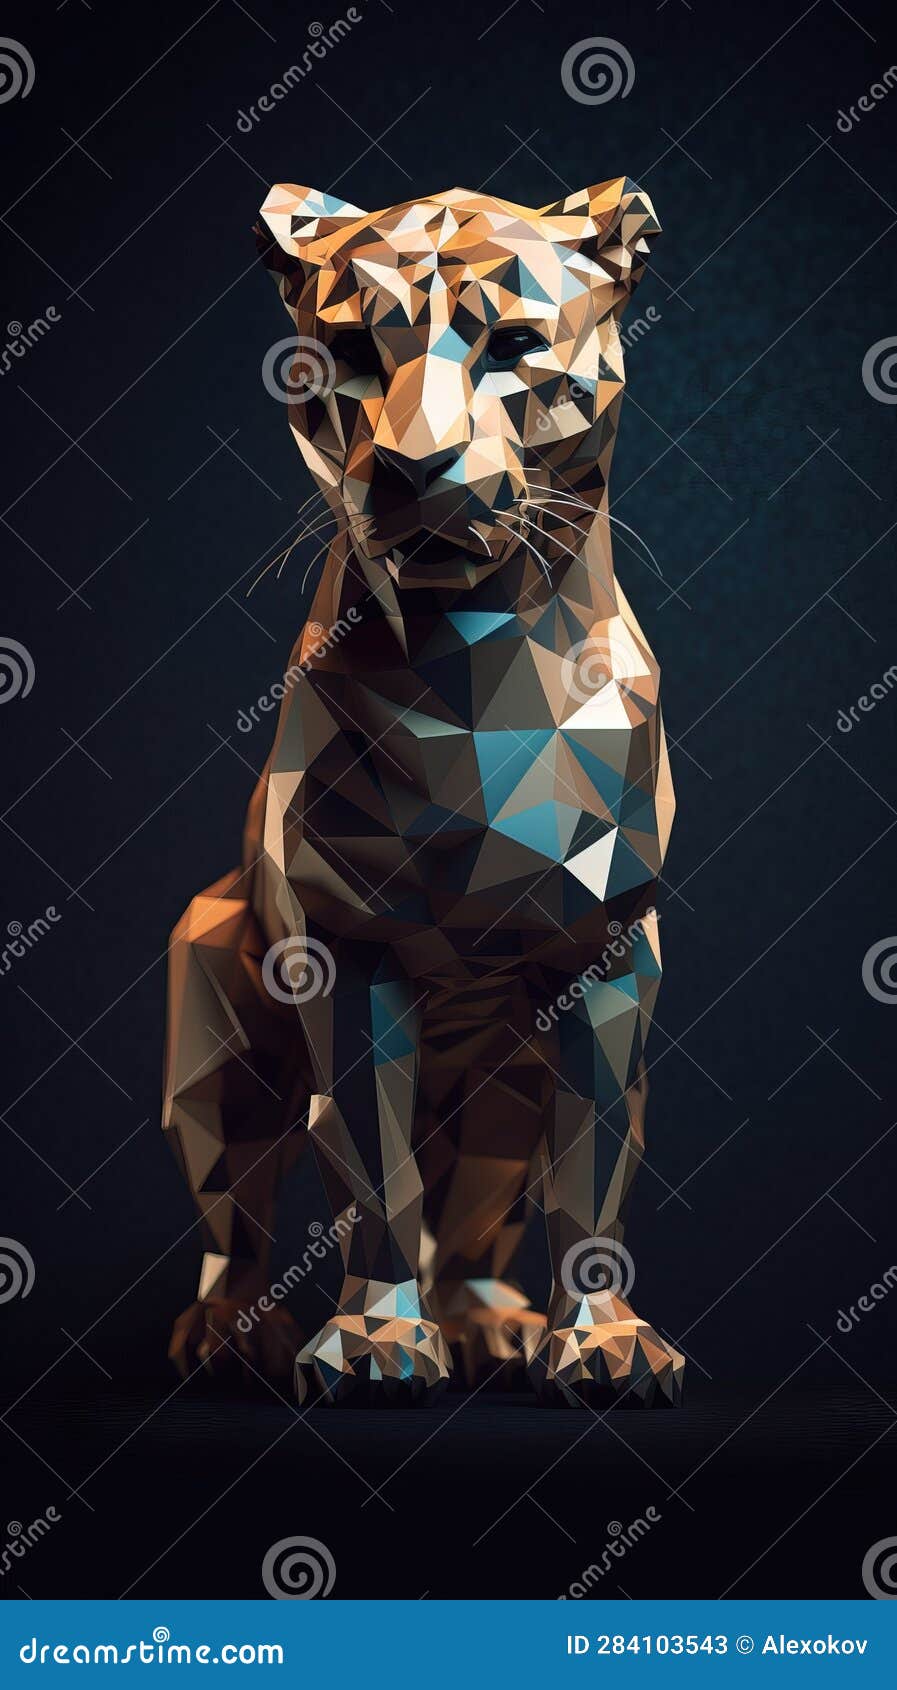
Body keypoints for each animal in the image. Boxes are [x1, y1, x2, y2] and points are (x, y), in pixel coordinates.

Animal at [163, 176, 683, 1409]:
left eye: (515, 346)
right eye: (351, 353)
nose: (412, 467)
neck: (474, 674)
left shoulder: (609, 960)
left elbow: (592, 1176)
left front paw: (602, 1345)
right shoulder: (346, 958)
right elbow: (373, 1181)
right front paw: (375, 1344)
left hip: (501, 1085)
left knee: (480, 1223)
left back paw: (489, 1325)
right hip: (212, 1019)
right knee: (235, 1217)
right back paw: (226, 1335)